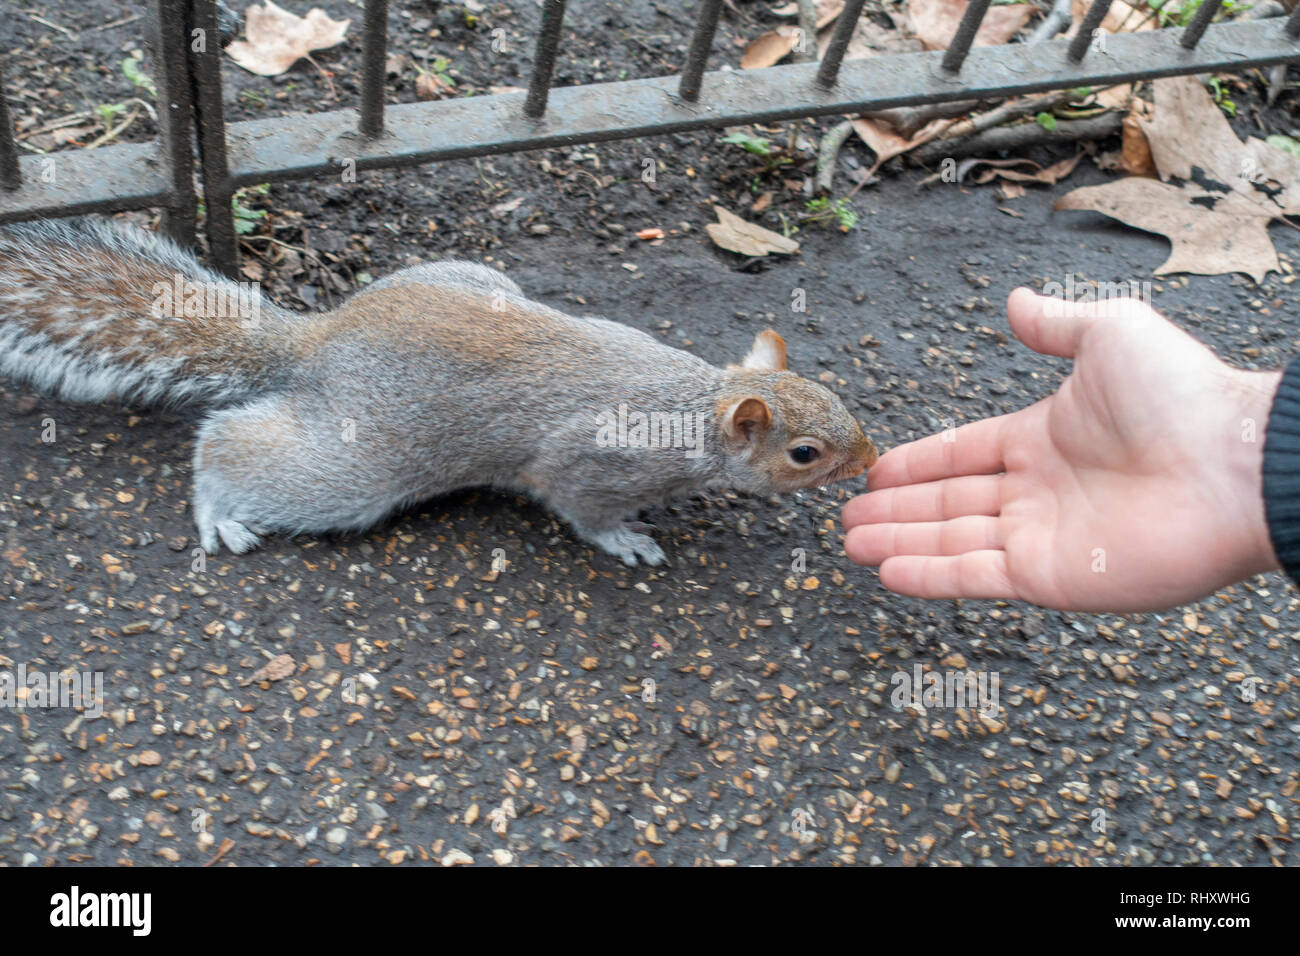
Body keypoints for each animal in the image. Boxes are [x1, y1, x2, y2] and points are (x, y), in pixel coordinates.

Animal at [0, 218, 878, 565]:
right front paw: (626, 539)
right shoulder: (590, 462)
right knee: (228, 445)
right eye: (805, 452)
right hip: (358, 465)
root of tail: (315, 341)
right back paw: (220, 511)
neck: (693, 405)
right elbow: (581, 507)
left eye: (838, 399)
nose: (871, 460)